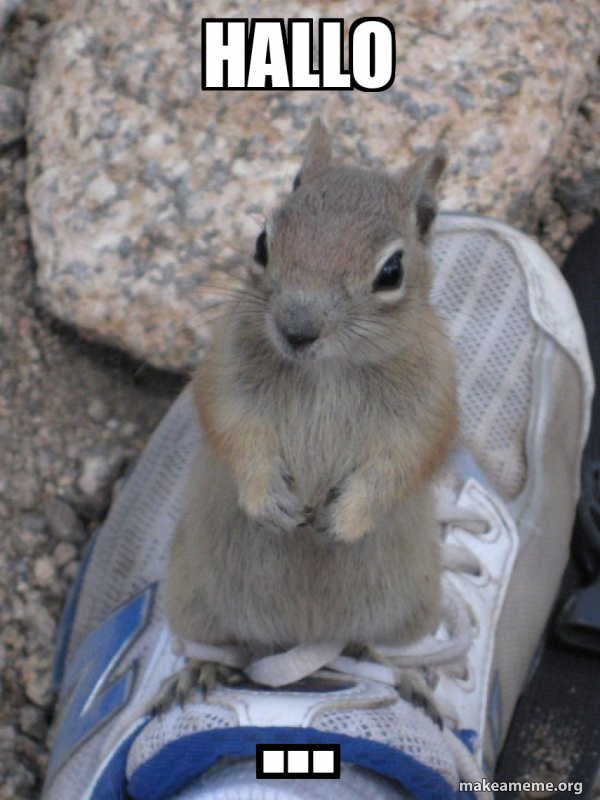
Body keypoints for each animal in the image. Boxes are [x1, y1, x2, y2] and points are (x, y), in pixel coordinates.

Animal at [162, 118, 458, 704]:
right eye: (262, 241)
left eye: (392, 271)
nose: (296, 329)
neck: (327, 369)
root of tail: (306, 634)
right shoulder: (227, 377)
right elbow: (236, 434)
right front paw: (268, 500)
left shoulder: (428, 406)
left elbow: (401, 464)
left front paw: (345, 519)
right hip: (190, 596)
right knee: (228, 646)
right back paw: (200, 671)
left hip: (413, 609)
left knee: (366, 645)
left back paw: (405, 678)